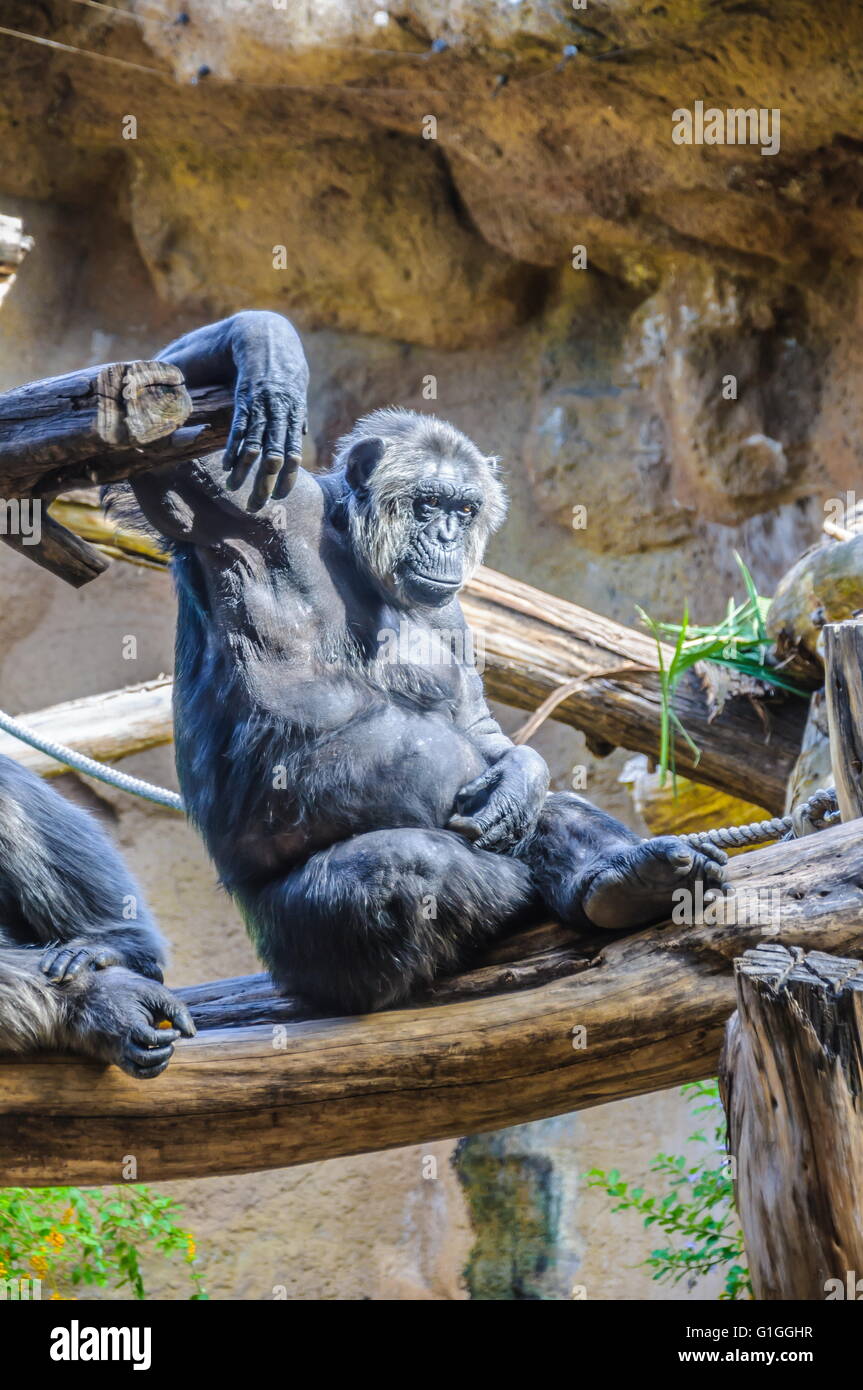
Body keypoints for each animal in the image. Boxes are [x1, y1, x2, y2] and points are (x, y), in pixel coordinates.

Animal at [107, 309, 727, 1015]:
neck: (353, 547)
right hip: (294, 947)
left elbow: (477, 724)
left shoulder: (454, 621)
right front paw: (270, 362)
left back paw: (627, 881)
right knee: (405, 865)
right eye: (428, 502)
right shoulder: (251, 508)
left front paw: (525, 774)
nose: (446, 535)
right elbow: (160, 443)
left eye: (464, 507)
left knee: (540, 809)